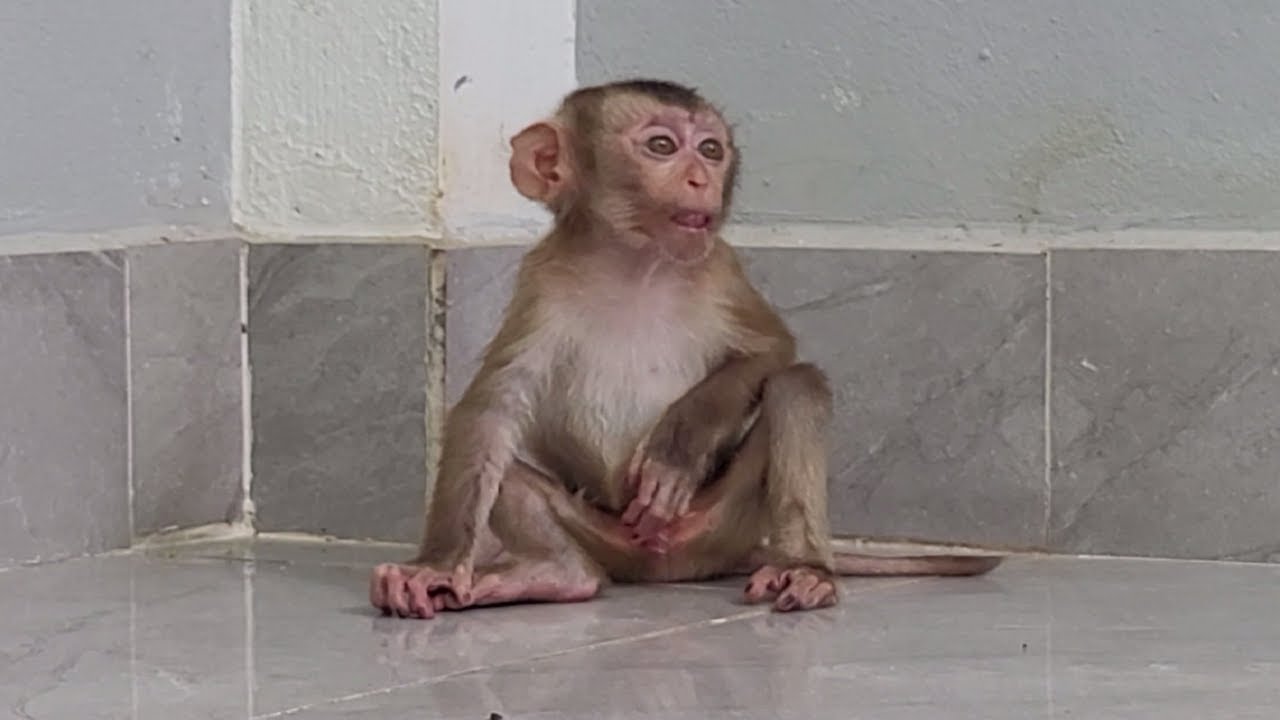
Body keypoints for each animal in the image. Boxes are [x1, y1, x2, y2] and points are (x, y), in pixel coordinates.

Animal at [370, 79, 1003, 618]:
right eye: (661, 146)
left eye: (711, 149)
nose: (703, 179)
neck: (636, 265)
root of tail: (668, 566)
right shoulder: (540, 286)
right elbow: (491, 410)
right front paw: (435, 566)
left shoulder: (721, 268)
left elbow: (771, 352)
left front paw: (678, 446)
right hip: (607, 535)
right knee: (511, 471)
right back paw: (553, 575)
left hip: (723, 521)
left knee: (797, 384)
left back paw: (804, 568)